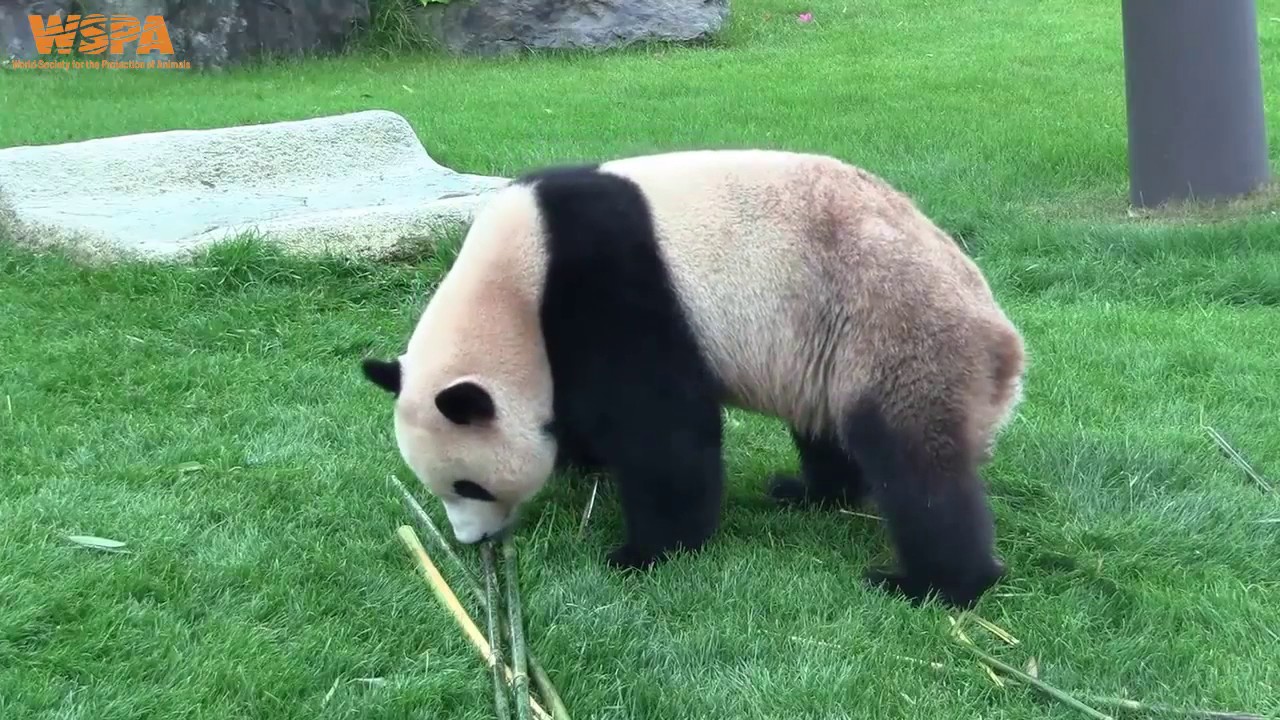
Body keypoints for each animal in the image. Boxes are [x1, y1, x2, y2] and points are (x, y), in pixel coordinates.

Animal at [361, 148, 1026, 609]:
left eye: (468, 486)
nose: (472, 542)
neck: (514, 279)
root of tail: (1005, 347)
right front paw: (584, 461)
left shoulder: (609, 277)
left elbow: (662, 424)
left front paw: (642, 552)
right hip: (828, 344)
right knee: (826, 425)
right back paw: (806, 493)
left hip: (896, 328)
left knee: (915, 464)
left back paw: (932, 583)